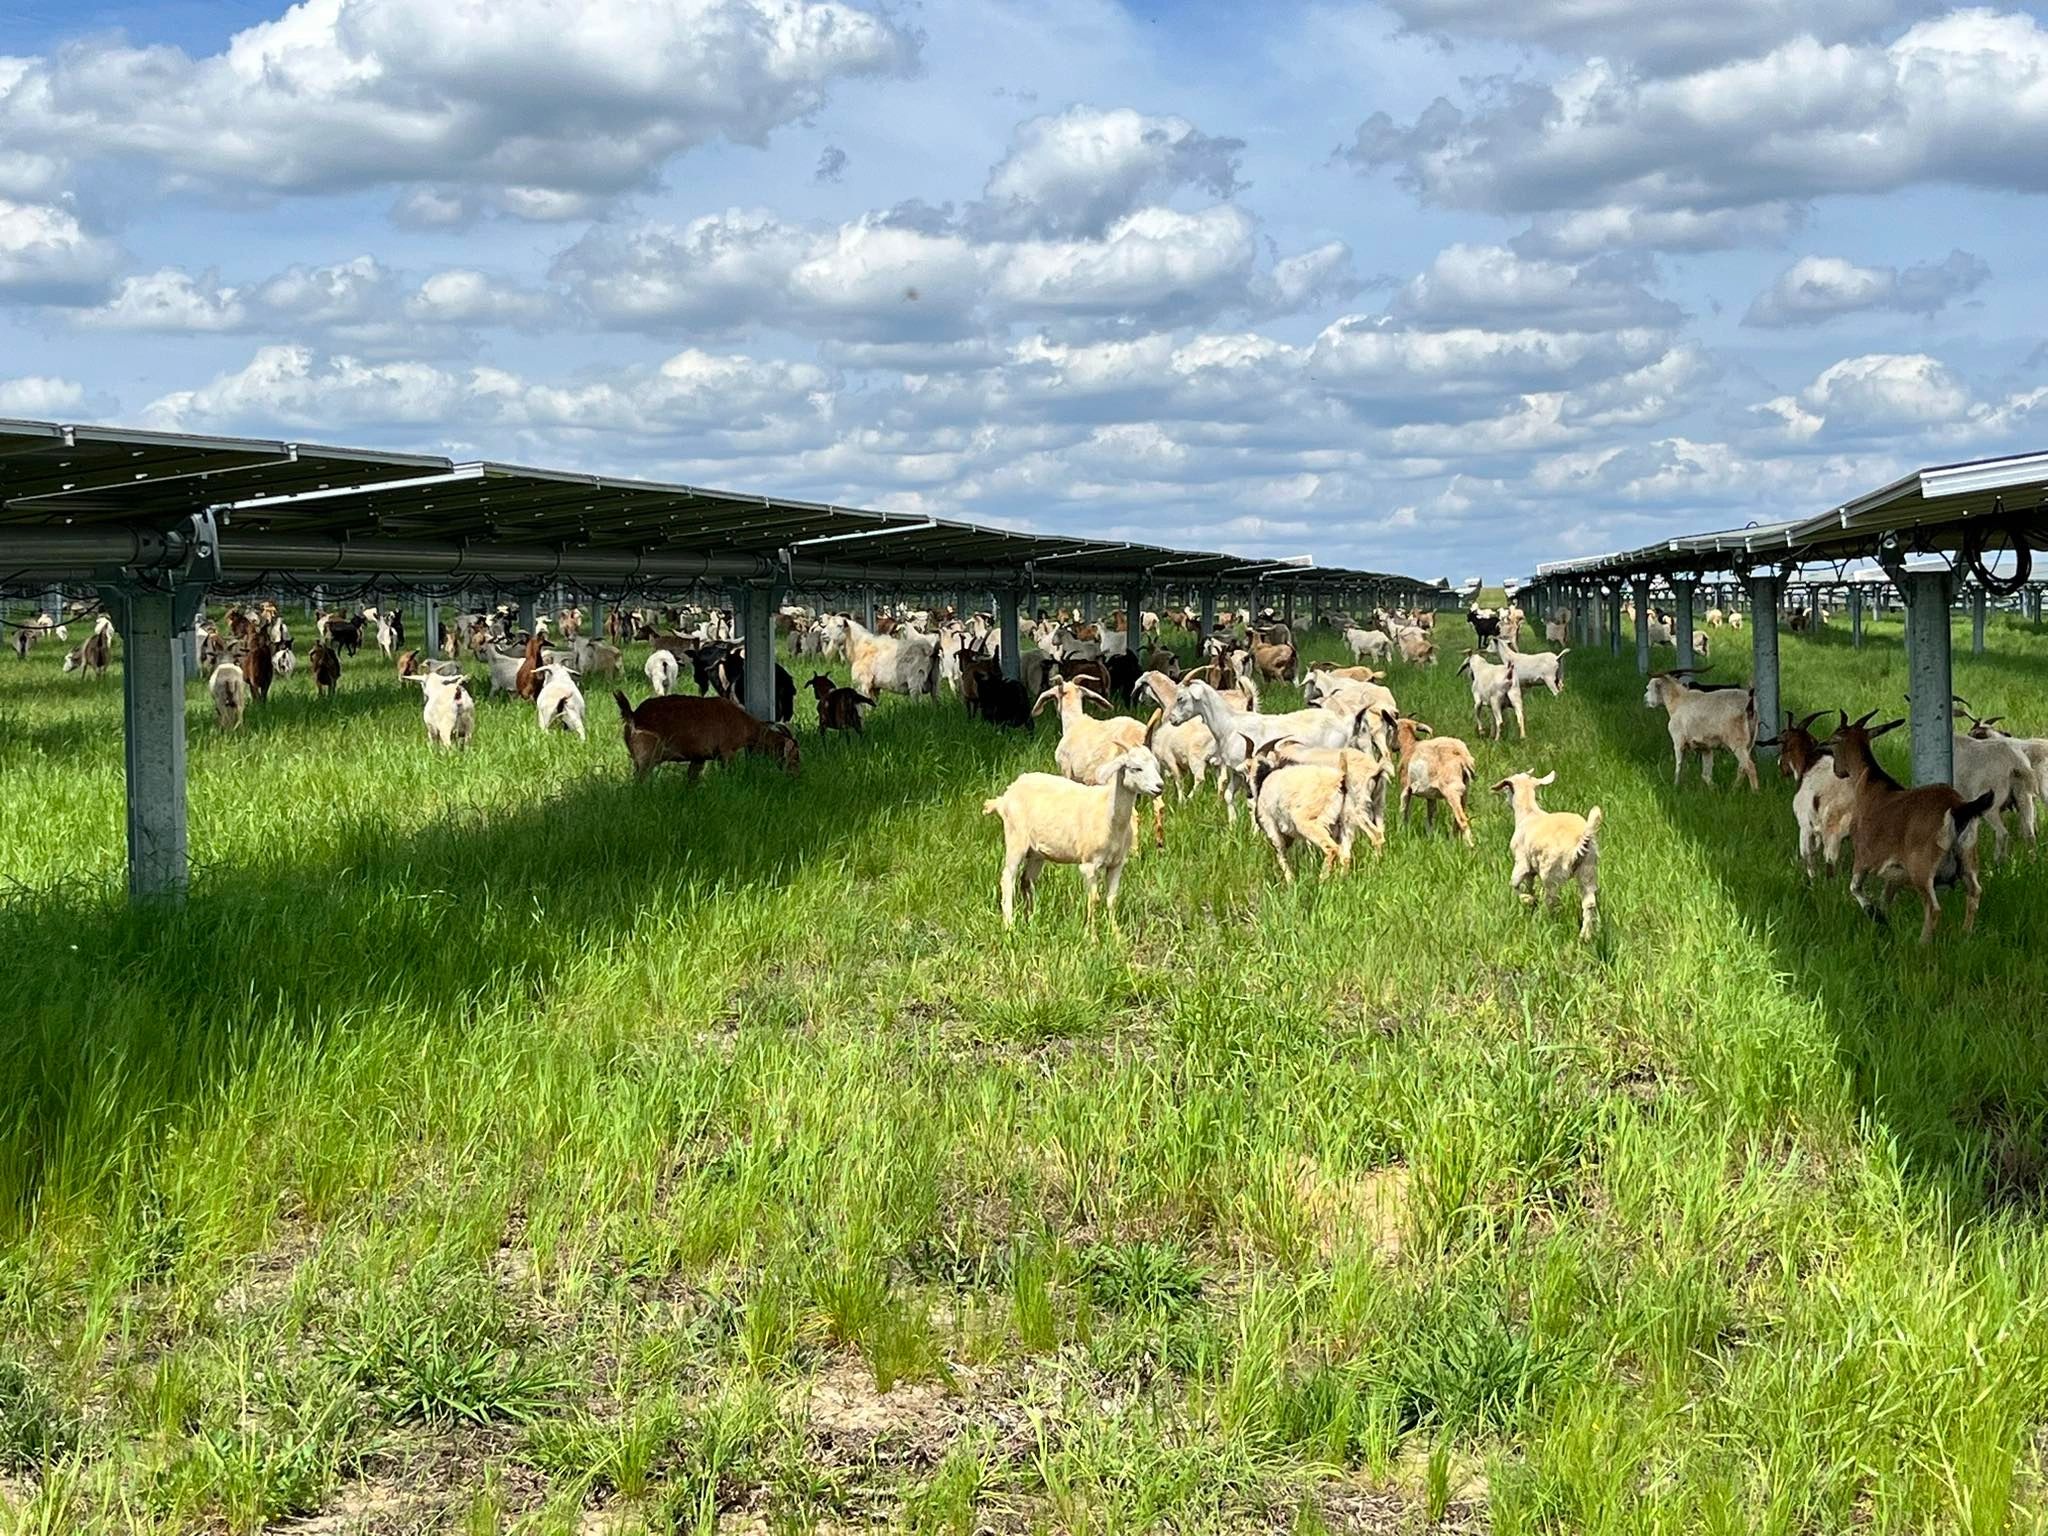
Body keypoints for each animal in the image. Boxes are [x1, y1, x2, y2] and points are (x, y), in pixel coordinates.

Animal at [613, 692, 800, 780]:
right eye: (796, 756)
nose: (795, 776)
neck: (745, 724)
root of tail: (633, 715)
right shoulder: (727, 751)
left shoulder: (699, 757)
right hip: (647, 756)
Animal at [983, 748, 1164, 931]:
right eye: (1136, 768)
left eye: (1156, 767)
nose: (1160, 786)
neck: (1109, 813)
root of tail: (1005, 795)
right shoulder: (1089, 864)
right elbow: (1094, 900)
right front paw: (1092, 934)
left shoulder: (1117, 863)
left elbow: (1112, 899)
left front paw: (1115, 933)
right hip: (1016, 838)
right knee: (1008, 878)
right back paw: (1009, 924)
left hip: (1036, 853)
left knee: (1026, 882)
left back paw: (1030, 920)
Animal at [1492, 771, 1602, 941]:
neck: (1529, 813)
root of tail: (1580, 840)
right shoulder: (1531, 871)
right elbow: (1529, 885)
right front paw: (1531, 902)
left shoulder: (1521, 862)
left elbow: (1514, 883)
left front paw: (1528, 900)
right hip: (1588, 869)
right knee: (1589, 903)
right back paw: (1585, 936)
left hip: (1551, 872)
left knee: (1552, 900)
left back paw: (1548, 922)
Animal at [1827, 711, 1994, 941]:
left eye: (1834, 742)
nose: (1837, 770)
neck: (1867, 783)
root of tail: (1958, 808)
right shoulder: (1896, 873)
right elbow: (1885, 899)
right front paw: (1883, 921)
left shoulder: (1863, 856)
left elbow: (1855, 888)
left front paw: (1875, 915)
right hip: (1968, 857)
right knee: (1975, 892)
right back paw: (1964, 935)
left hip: (1922, 867)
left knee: (1933, 908)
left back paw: (1922, 943)